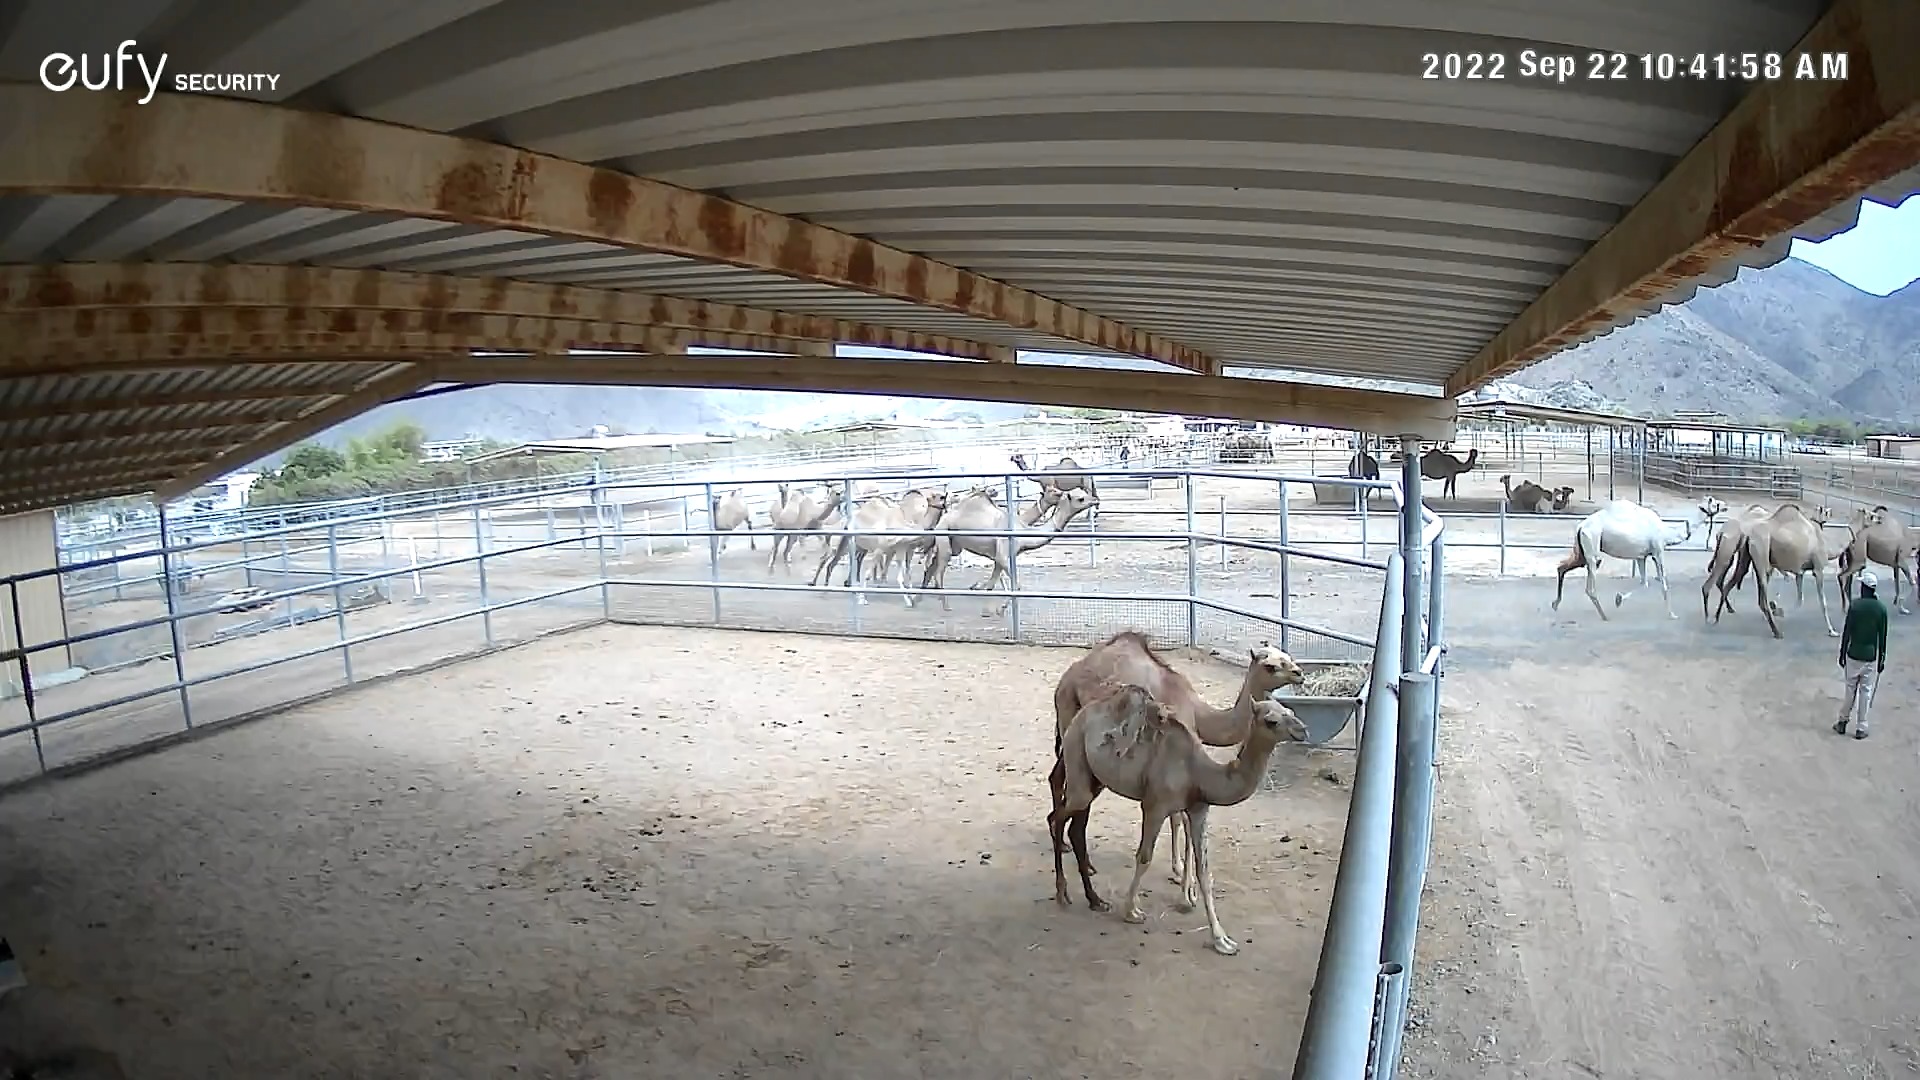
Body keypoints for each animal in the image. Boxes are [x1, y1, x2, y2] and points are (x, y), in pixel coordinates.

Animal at [808, 488, 949, 606]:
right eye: (937, 496)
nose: (945, 498)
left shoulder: (899, 549)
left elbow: (902, 575)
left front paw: (910, 600)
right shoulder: (880, 549)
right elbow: (868, 574)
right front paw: (863, 598)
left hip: (860, 547)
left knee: (851, 561)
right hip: (845, 543)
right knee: (831, 561)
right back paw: (824, 588)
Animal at [919, 487, 1093, 616]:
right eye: (1081, 498)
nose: (1095, 499)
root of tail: (943, 518)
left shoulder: (999, 557)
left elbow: (991, 584)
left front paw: (989, 610)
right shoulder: (1002, 554)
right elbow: (1016, 586)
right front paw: (999, 610)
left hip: (955, 544)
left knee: (931, 567)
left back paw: (917, 600)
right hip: (944, 538)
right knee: (938, 572)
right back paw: (946, 605)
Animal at [1048, 632, 1305, 893]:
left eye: (1287, 657)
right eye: (1271, 666)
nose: (1299, 673)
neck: (1200, 715)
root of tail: (1066, 679)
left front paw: (1182, 874)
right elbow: (1179, 819)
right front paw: (1184, 879)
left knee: (1059, 779)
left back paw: (1071, 850)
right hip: (1069, 716)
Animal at [1049, 683, 1308, 955]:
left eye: (1290, 710)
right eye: (1271, 721)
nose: (1303, 730)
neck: (1198, 773)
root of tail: (1084, 712)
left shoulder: (1199, 809)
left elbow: (1205, 872)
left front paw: (1222, 940)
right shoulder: (1155, 805)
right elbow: (1144, 857)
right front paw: (1132, 911)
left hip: (1095, 779)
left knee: (1072, 825)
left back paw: (1094, 899)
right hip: (1075, 754)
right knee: (1058, 818)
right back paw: (1063, 892)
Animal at [1552, 500, 1695, 620]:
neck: (1667, 533)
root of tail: (1581, 527)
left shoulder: (1641, 556)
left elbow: (1644, 583)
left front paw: (1619, 599)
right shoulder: (1658, 551)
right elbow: (1663, 583)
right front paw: (1672, 615)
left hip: (1581, 553)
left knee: (1562, 567)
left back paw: (1555, 604)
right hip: (1592, 548)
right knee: (1590, 587)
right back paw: (1604, 616)